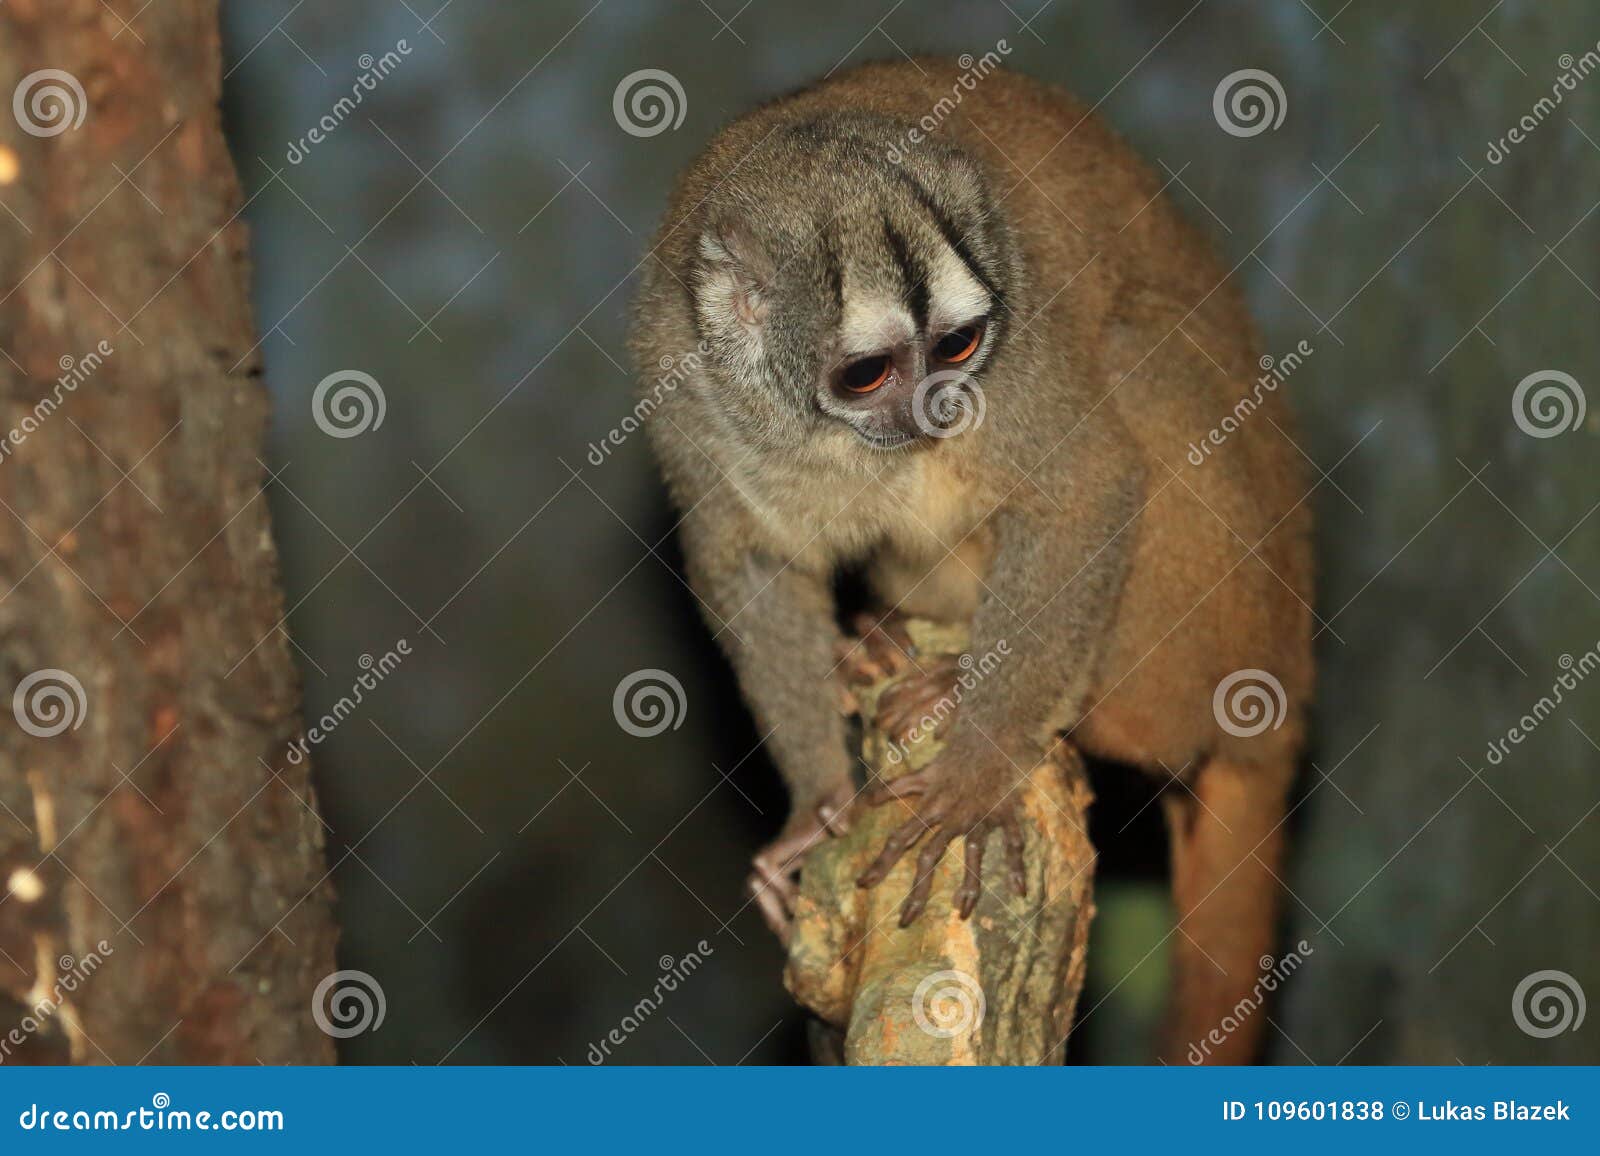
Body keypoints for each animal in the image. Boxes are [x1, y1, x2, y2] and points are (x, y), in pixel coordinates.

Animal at [629, 58, 1312, 1065]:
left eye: (957, 346)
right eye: (869, 373)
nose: (941, 403)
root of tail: (1288, 693)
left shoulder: (1023, 350)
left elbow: (1088, 487)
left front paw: (980, 766)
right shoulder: (680, 380)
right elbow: (741, 557)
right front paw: (815, 806)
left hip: (1226, 651)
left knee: (1131, 358)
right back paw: (872, 649)